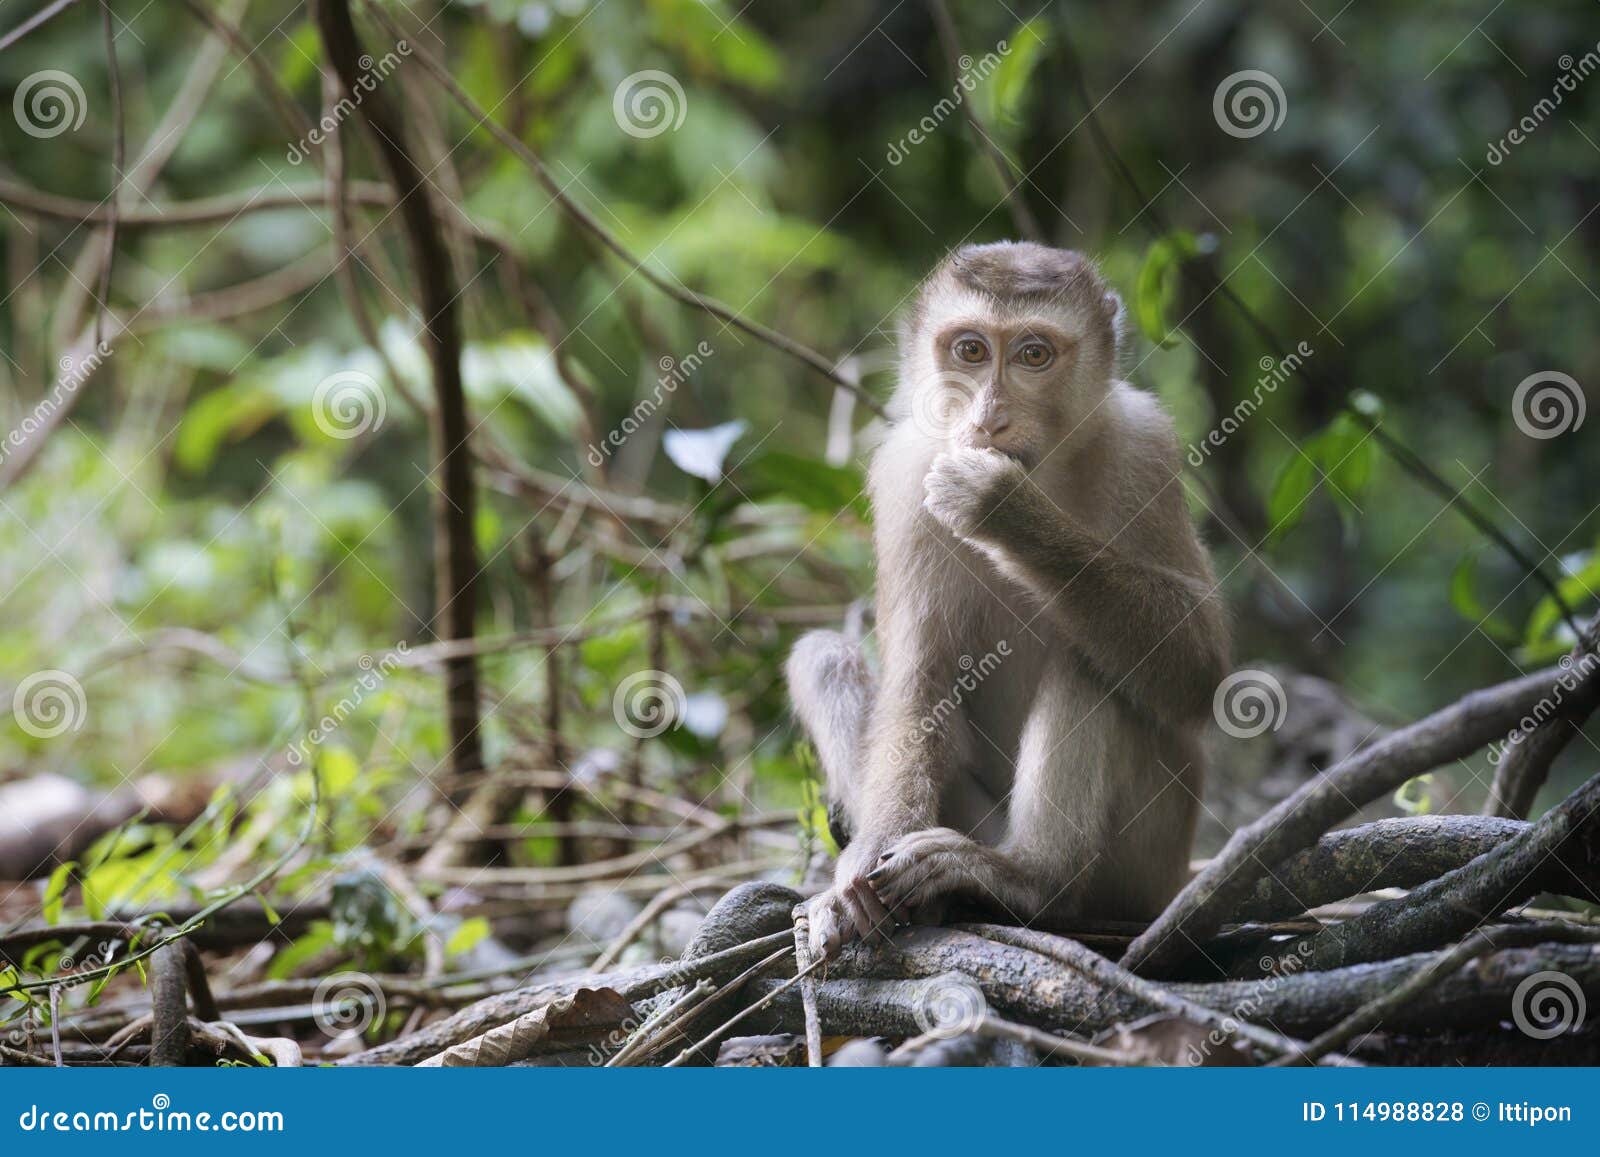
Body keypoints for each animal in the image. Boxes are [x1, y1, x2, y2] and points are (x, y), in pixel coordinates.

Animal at [787, 241, 1231, 959]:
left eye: (1033, 355)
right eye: (970, 350)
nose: (988, 419)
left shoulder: (1145, 446)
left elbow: (1200, 663)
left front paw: (1005, 508)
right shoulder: (906, 473)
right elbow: (919, 676)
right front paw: (862, 861)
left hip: (1144, 870)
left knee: (1096, 661)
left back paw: (1026, 880)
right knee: (823, 655)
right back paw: (942, 897)